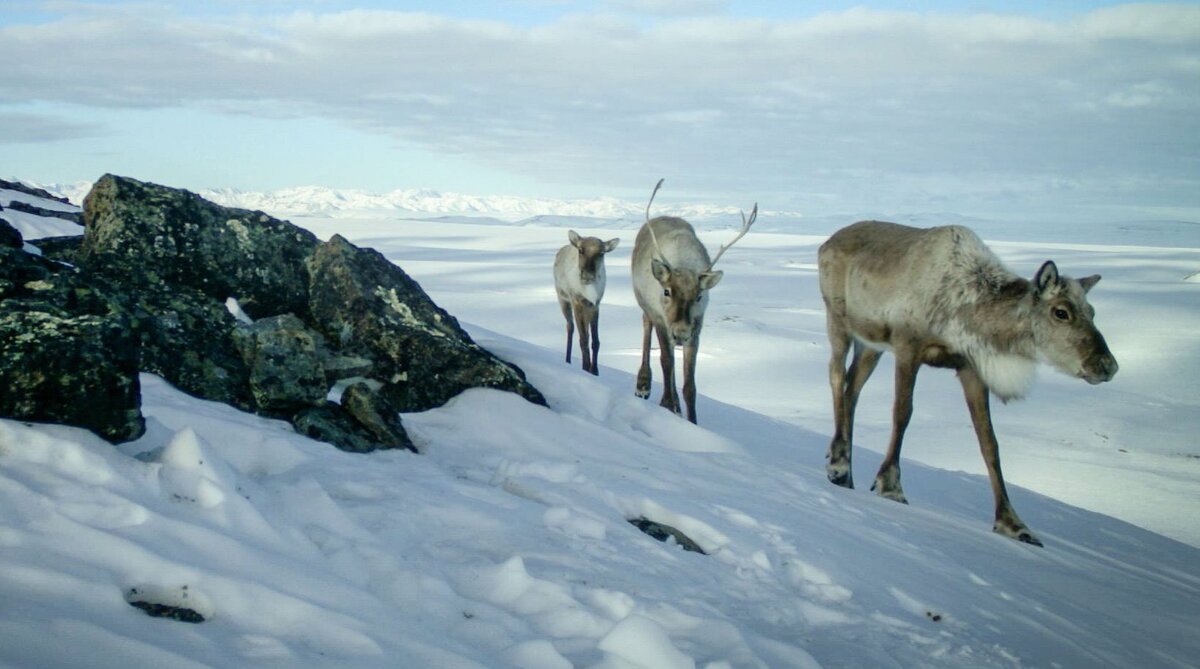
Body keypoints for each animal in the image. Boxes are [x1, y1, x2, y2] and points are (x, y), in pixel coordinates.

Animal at [554, 230, 620, 375]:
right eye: (581, 250)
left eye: (601, 253)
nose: (588, 275)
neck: (589, 291)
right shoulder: (576, 302)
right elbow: (583, 339)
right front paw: (585, 367)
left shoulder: (595, 305)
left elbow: (595, 341)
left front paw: (594, 370)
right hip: (562, 299)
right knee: (570, 326)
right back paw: (567, 360)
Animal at [631, 179, 756, 424]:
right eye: (667, 291)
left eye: (698, 296)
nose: (680, 332)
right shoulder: (662, 320)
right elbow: (666, 362)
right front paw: (667, 404)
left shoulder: (696, 326)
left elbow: (690, 385)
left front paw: (691, 420)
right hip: (645, 305)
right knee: (647, 326)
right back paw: (643, 384)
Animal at [819, 220, 1119, 546]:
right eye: (1061, 312)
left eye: (1092, 311)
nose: (1107, 365)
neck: (968, 312)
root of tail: (827, 242)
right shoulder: (908, 345)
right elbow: (902, 413)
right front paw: (891, 485)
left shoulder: (970, 367)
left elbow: (989, 442)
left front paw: (1014, 524)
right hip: (839, 320)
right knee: (836, 375)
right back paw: (838, 462)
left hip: (871, 344)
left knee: (852, 388)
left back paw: (846, 472)